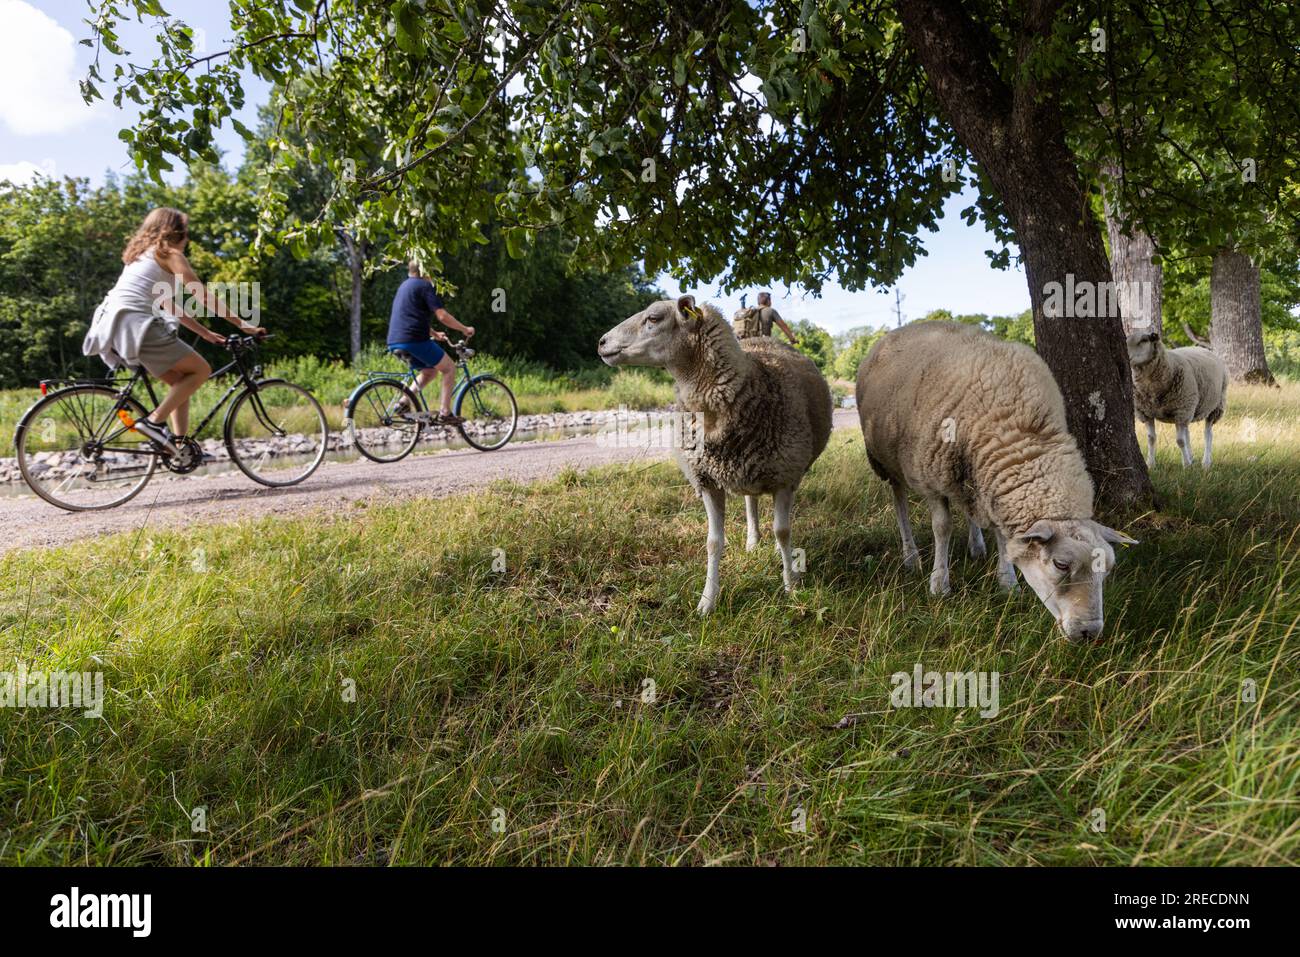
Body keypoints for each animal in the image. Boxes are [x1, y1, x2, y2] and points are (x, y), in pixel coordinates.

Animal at [598, 295, 833, 614]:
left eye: (654, 318)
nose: (601, 342)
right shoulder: (705, 481)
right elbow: (712, 542)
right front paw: (707, 601)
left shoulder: (785, 476)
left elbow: (783, 531)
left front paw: (791, 586)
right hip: (749, 468)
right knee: (750, 502)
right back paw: (752, 541)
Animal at [855, 320, 1137, 642]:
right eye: (1061, 564)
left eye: (1108, 570)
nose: (1090, 632)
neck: (1021, 431)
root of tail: (896, 332)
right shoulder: (931, 478)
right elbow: (942, 527)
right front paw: (939, 584)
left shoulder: (994, 481)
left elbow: (1003, 536)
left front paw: (1008, 584)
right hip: (886, 460)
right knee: (899, 501)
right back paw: (911, 556)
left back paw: (977, 546)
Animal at [1126, 331, 1228, 469]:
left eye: (1144, 340)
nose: (1127, 355)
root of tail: (1202, 348)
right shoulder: (1146, 413)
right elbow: (1151, 439)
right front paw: (1150, 464)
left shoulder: (1181, 411)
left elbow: (1180, 441)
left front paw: (1186, 465)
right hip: (1189, 409)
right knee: (1187, 433)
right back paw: (1191, 457)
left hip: (1215, 406)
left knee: (1208, 434)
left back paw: (1206, 462)